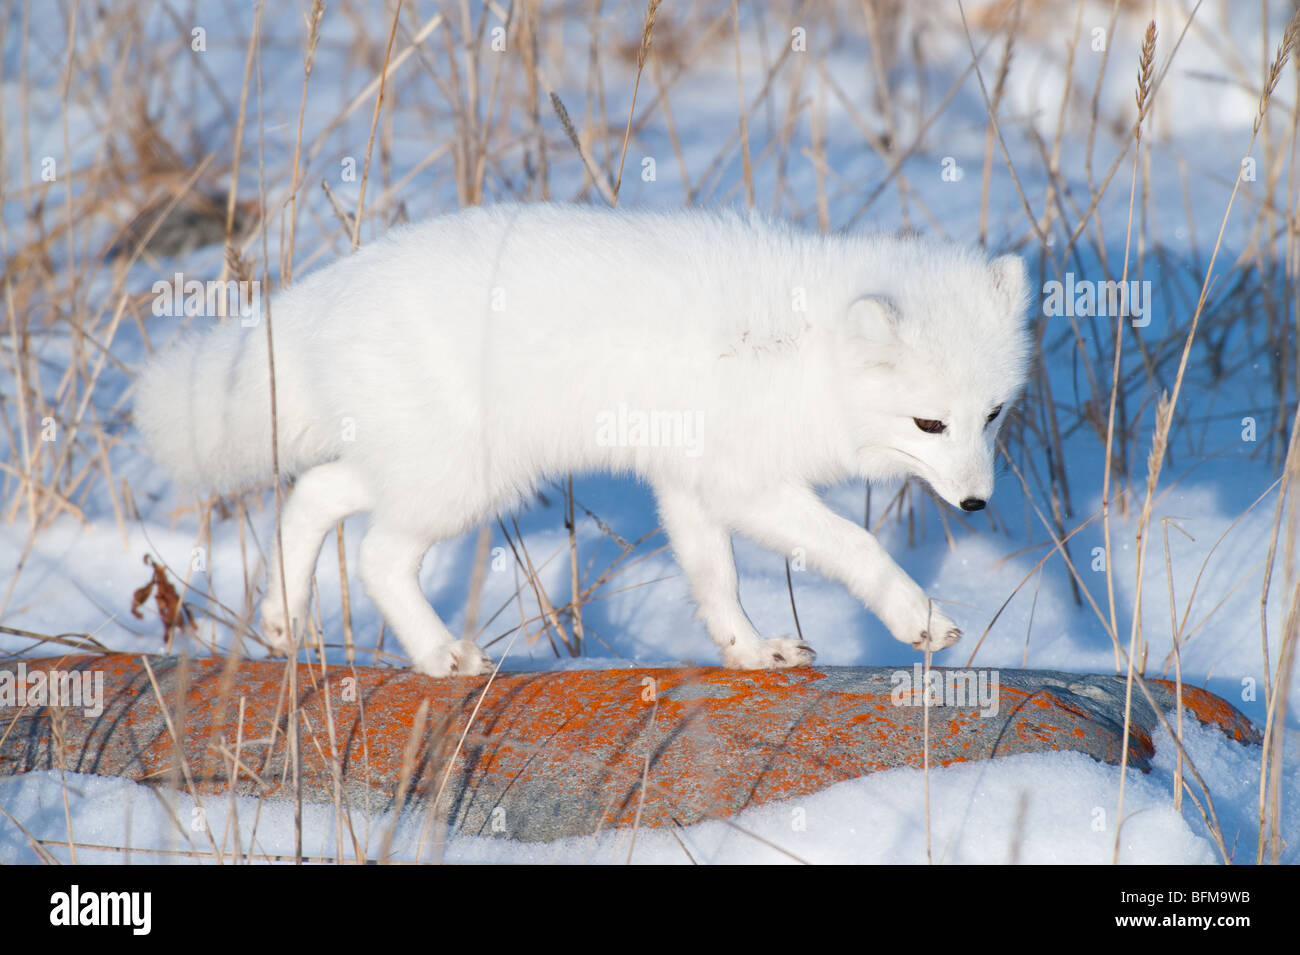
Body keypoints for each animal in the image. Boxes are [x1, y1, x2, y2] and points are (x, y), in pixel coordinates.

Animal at [133, 203, 1032, 677]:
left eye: (992, 414)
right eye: (928, 423)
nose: (976, 501)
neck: (805, 351)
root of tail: (327, 288)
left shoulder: (687, 481)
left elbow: (714, 580)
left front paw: (748, 651)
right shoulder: (744, 481)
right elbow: (854, 545)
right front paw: (919, 619)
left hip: (426, 466)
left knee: (312, 495)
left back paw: (285, 625)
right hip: (468, 480)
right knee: (379, 553)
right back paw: (440, 654)